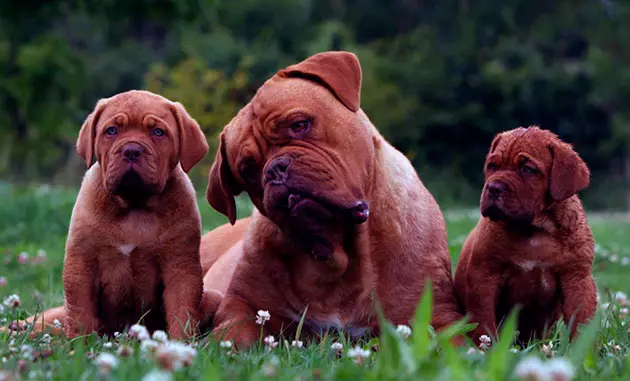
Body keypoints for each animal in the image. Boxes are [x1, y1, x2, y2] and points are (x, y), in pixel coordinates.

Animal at [8, 90, 210, 338]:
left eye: (158, 132)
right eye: (111, 130)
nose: (131, 150)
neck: (134, 205)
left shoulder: (180, 269)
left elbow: (182, 313)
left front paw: (182, 342)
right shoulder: (82, 264)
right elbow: (81, 313)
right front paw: (79, 345)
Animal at [202, 50, 464, 348]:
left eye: (300, 124)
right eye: (246, 169)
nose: (275, 169)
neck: (337, 255)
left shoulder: (440, 319)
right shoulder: (243, 306)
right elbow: (232, 334)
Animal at [454, 125, 596, 344]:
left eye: (528, 169)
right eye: (492, 165)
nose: (493, 188)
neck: (535, 230)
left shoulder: (577, 278)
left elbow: (581, 321)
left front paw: (583, 350)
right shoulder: (484, 275)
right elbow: (484, 321)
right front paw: (485, 348)